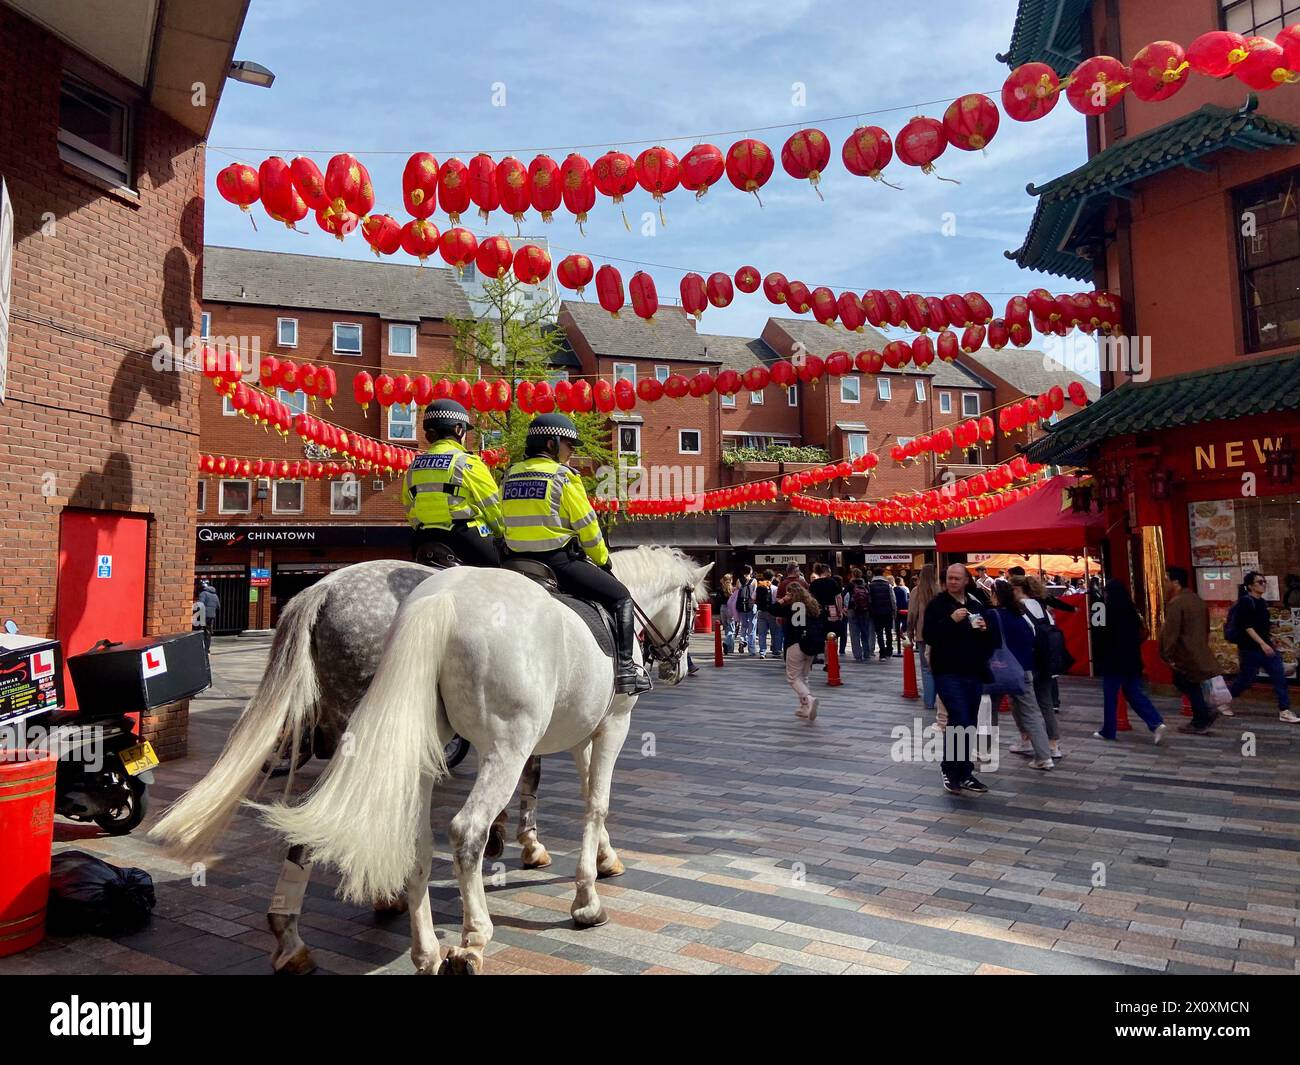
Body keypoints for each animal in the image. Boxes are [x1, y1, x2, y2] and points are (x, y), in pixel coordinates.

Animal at [254, 545, 707, 975]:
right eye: (694, 605)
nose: (682, 666)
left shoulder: (581, 728)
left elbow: (575, 787)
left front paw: (595, 854)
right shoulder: (612, 722)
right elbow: (595, 802)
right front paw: (585, 897)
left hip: (400, 742)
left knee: (368, 830)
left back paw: (400, 945)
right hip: (502, 741)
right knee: (465, 830)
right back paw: (469, 940)